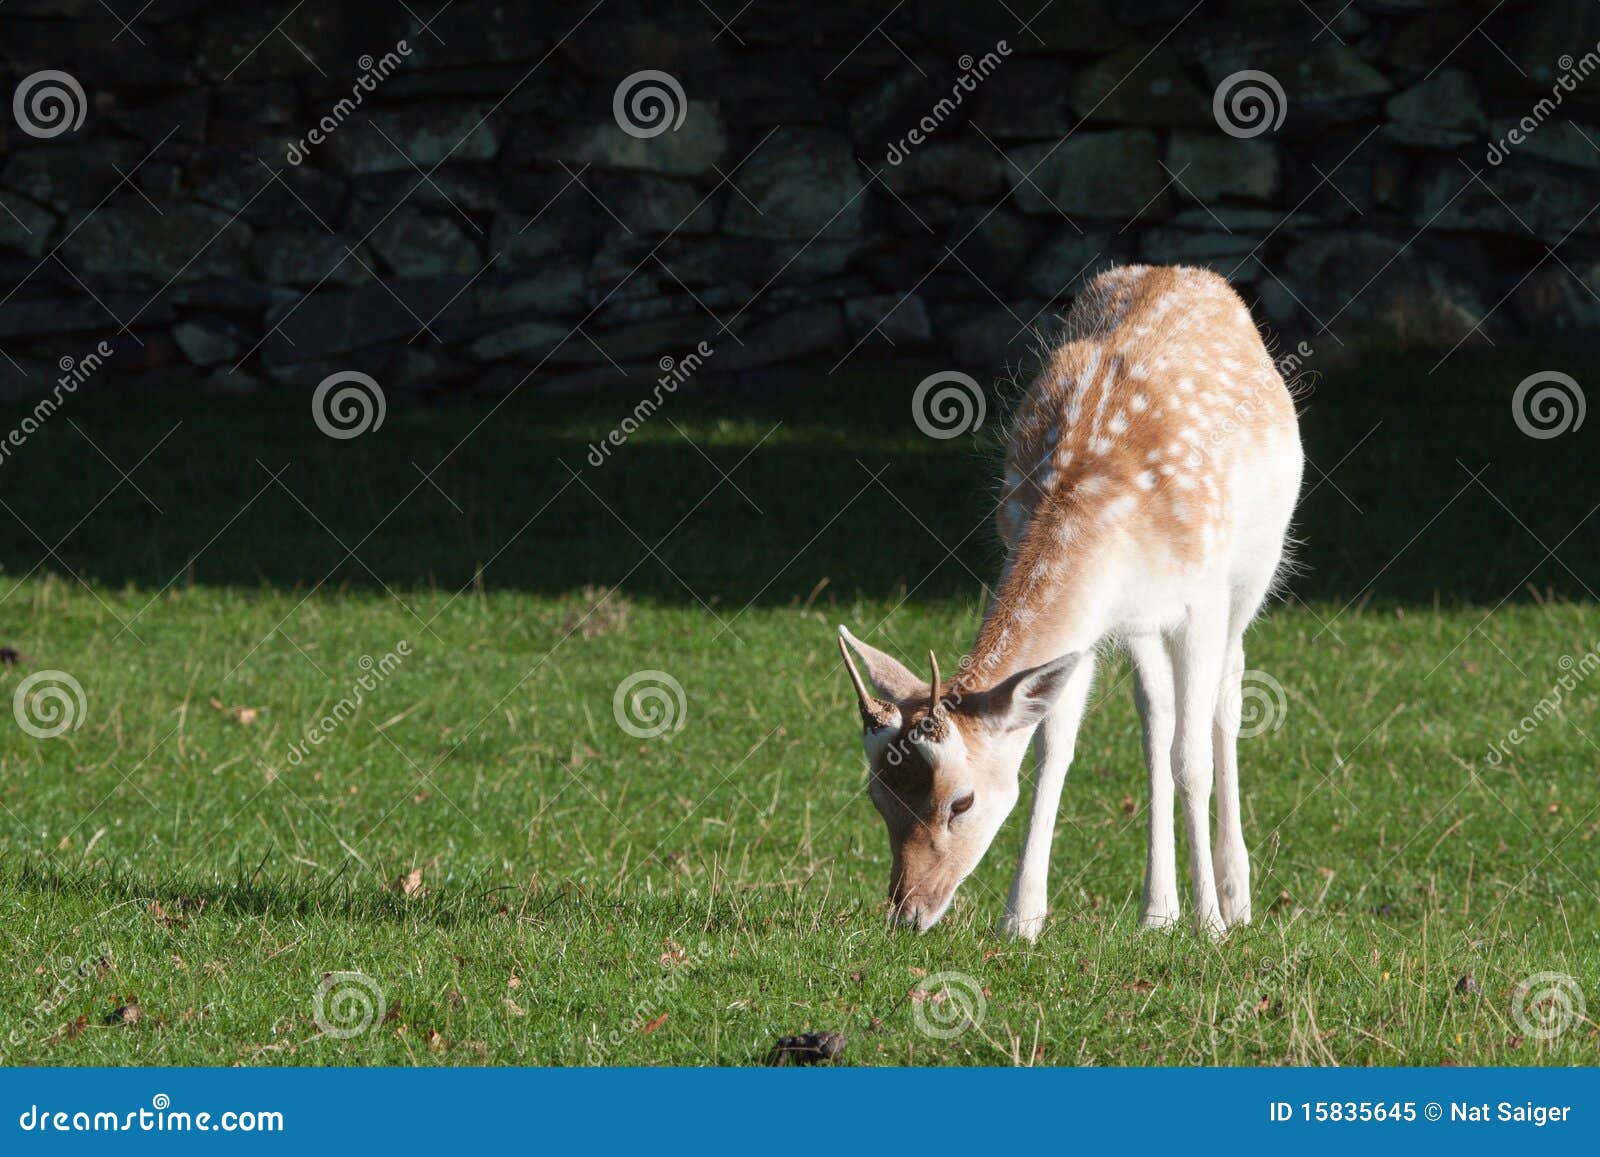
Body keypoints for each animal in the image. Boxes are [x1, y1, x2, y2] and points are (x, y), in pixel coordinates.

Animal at [837, 264, 1303, 939]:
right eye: (878, 797)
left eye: (961, 801)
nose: (908, 910)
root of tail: (1187, 272)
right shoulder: (1088, 626)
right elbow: (1053, 751)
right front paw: (1022, 917)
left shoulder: (1202, 599)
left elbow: (1192, 760)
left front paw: (1212, 924)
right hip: (1140, 621)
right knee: (1156, 713)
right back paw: (1158, 910)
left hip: (1254, 568)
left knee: (1228, 690)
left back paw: (1236, 898)